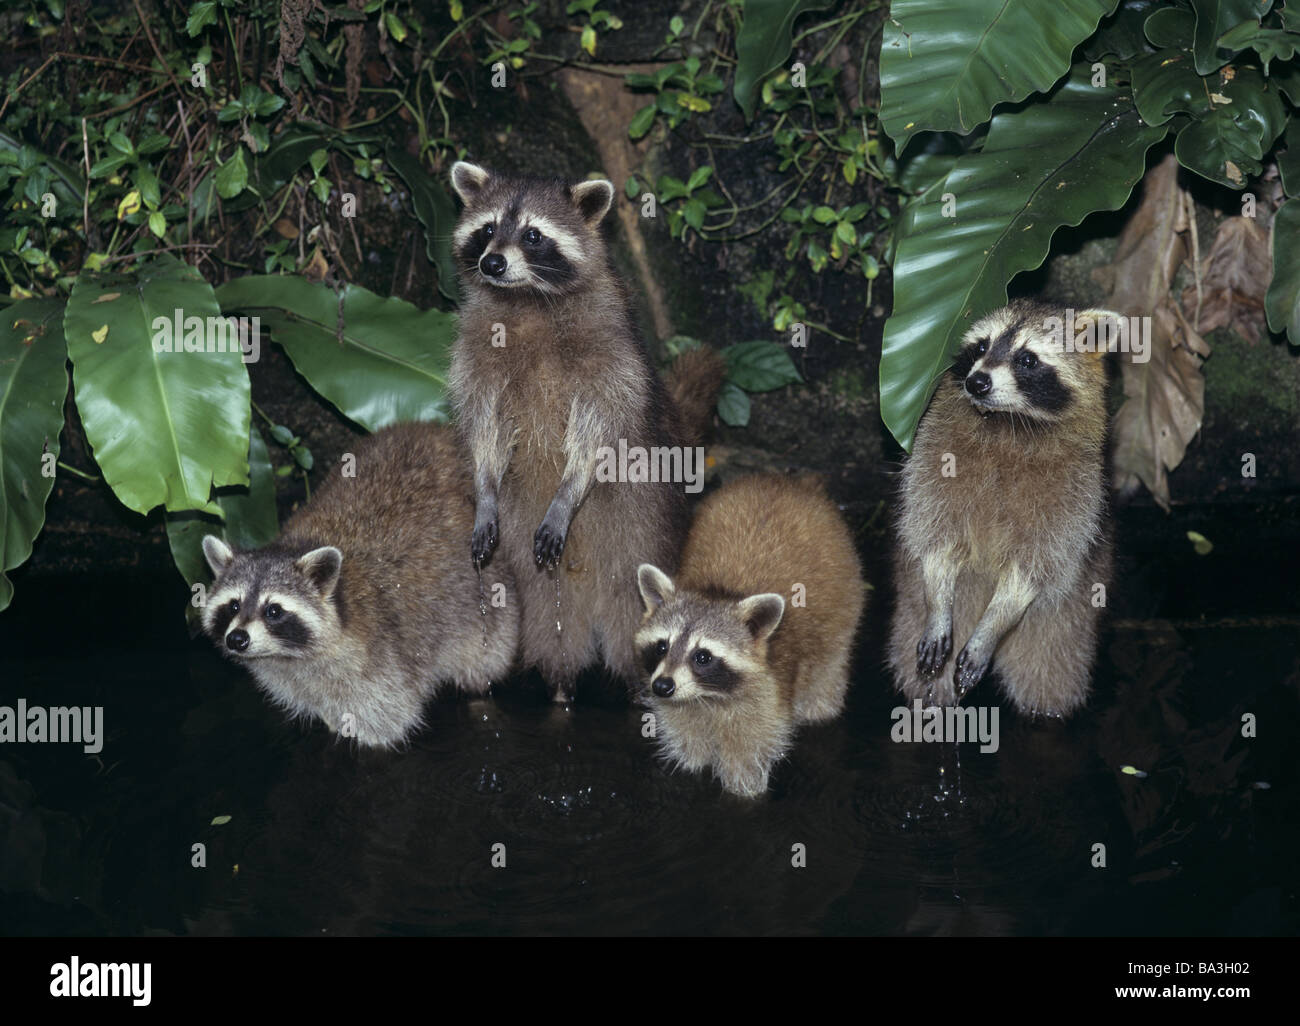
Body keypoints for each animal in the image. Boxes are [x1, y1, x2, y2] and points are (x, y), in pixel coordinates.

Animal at [200, 422, 518, 748]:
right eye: (233, 605)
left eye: (273, 610)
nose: (237, 639)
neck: (288, 657)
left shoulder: (379, 663)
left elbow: (386, 722)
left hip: (487, 600)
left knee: (486, 656)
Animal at [447, 160, 719, 702]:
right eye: (487, 229)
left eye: (533, 235)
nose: (492, 263)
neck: (525, 300)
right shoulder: (477, 358)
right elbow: (483, 429)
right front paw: (484, 490)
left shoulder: (611, 358)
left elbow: (600, 434)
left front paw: (568, 492)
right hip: (535, 572)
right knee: (552, 626)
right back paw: (560, 688)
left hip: (641, 533)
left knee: (631, 618)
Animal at [635, 474, 865, 798]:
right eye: (662, 647)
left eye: (702, 657)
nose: (662, 686)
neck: (707, 697)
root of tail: (785, 481)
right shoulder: (681, 708)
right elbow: (688, 746)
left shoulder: (766, 702)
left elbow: (747, 759)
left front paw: (745, 789)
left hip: (844, 600)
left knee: (828, 664)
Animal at [888, 299, 1117, 717]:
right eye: (981, 346)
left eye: (1027, 359)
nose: (977, 382)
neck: (1008, 422)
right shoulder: (936, 455)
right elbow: (935, 535)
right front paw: (938, 601)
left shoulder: (1076, 490)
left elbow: (1037, 566)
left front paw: (994, 623)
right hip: (914, 603)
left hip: (1068, 615)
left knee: (1049, 674)